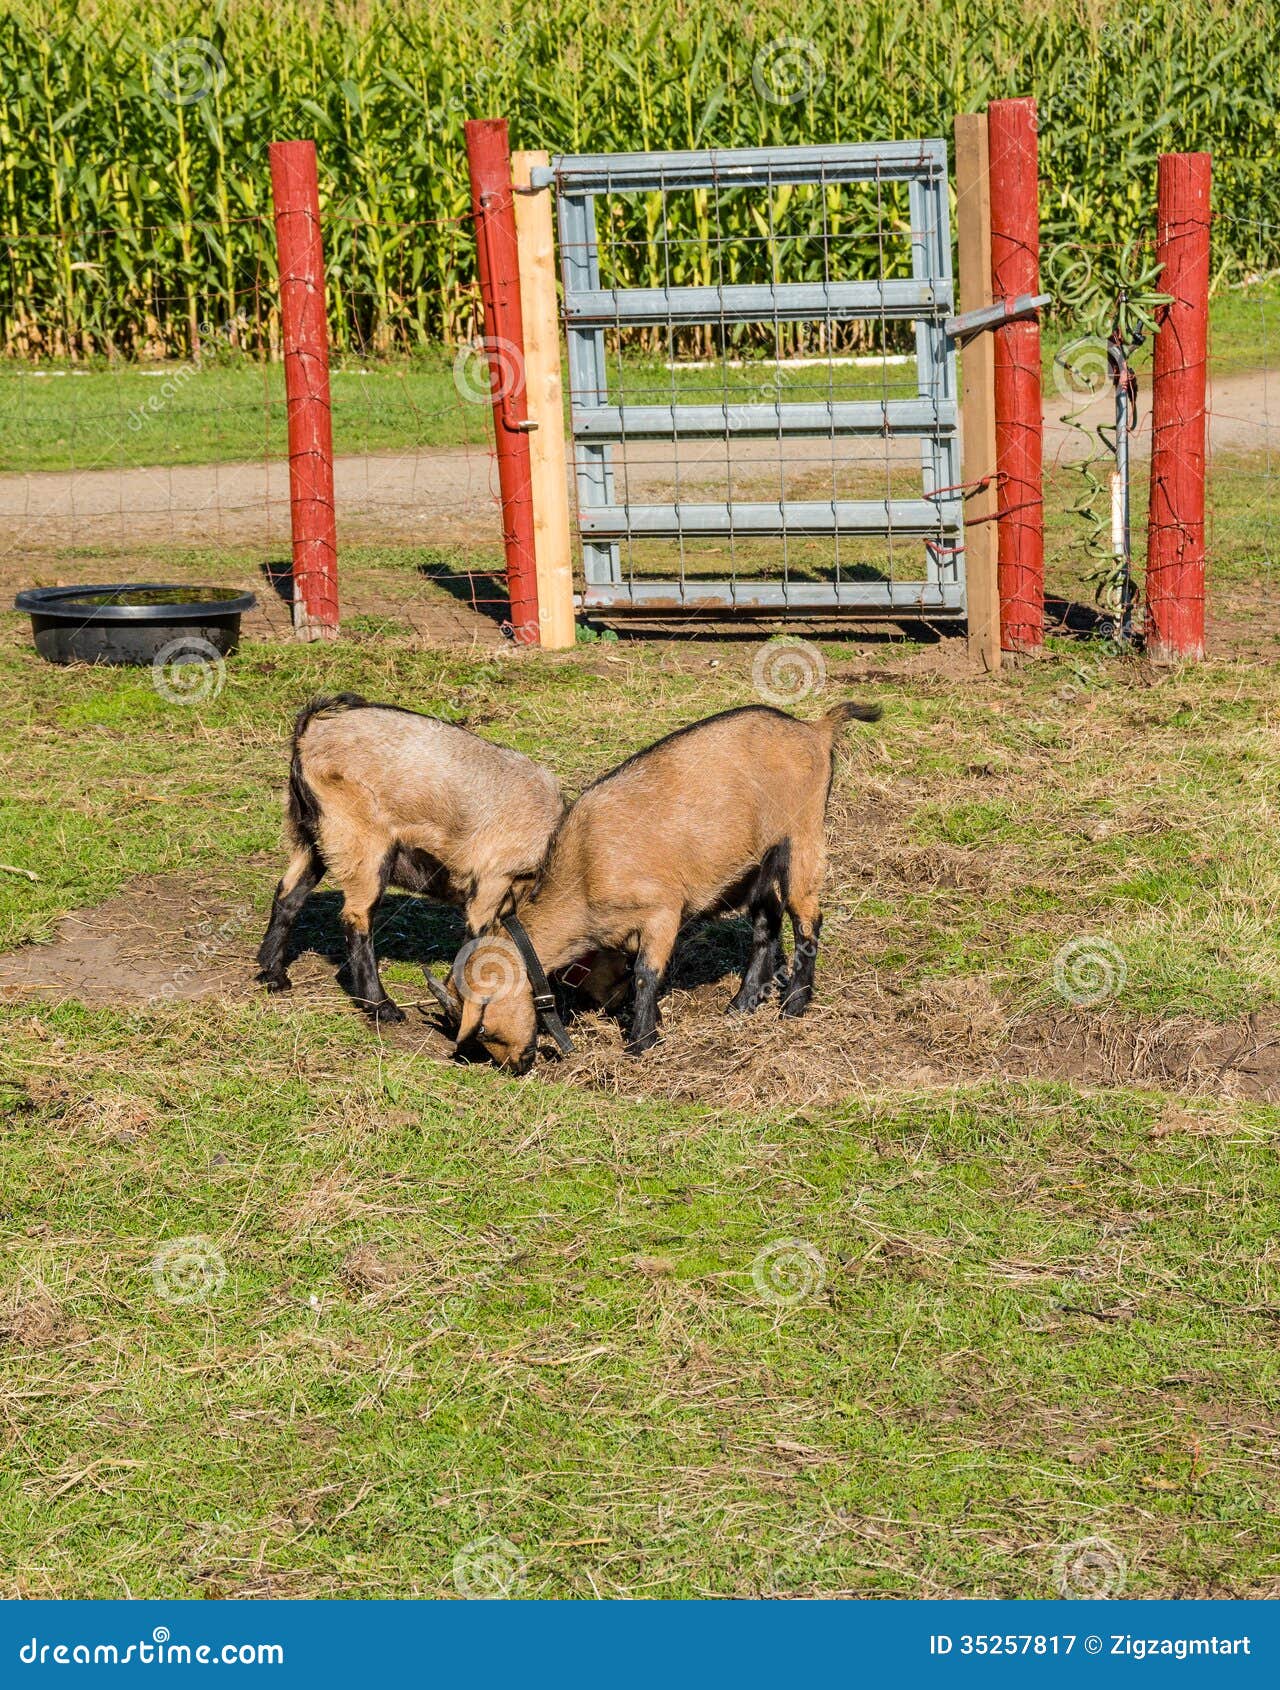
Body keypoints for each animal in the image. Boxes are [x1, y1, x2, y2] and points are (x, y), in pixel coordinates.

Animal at [256, 694, 565, 1022]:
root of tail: (312, 729)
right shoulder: (493, 880)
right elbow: (475, 939)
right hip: (360, 839)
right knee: (356, 917)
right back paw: (381, 1006)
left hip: (314, 835)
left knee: (289, 893)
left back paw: (272, 973)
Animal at [426, 699, 881, 1070]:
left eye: (483, 1027)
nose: (516, 1066)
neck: (583, 873)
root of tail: (814, 729)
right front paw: (650, 1023)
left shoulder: (663, 911)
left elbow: (646, 973)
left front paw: (642, 1042)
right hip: (757, 863)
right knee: (766, 923)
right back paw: (743, 1003)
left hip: (802, 837)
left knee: (807, 917)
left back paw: (794, 1005)